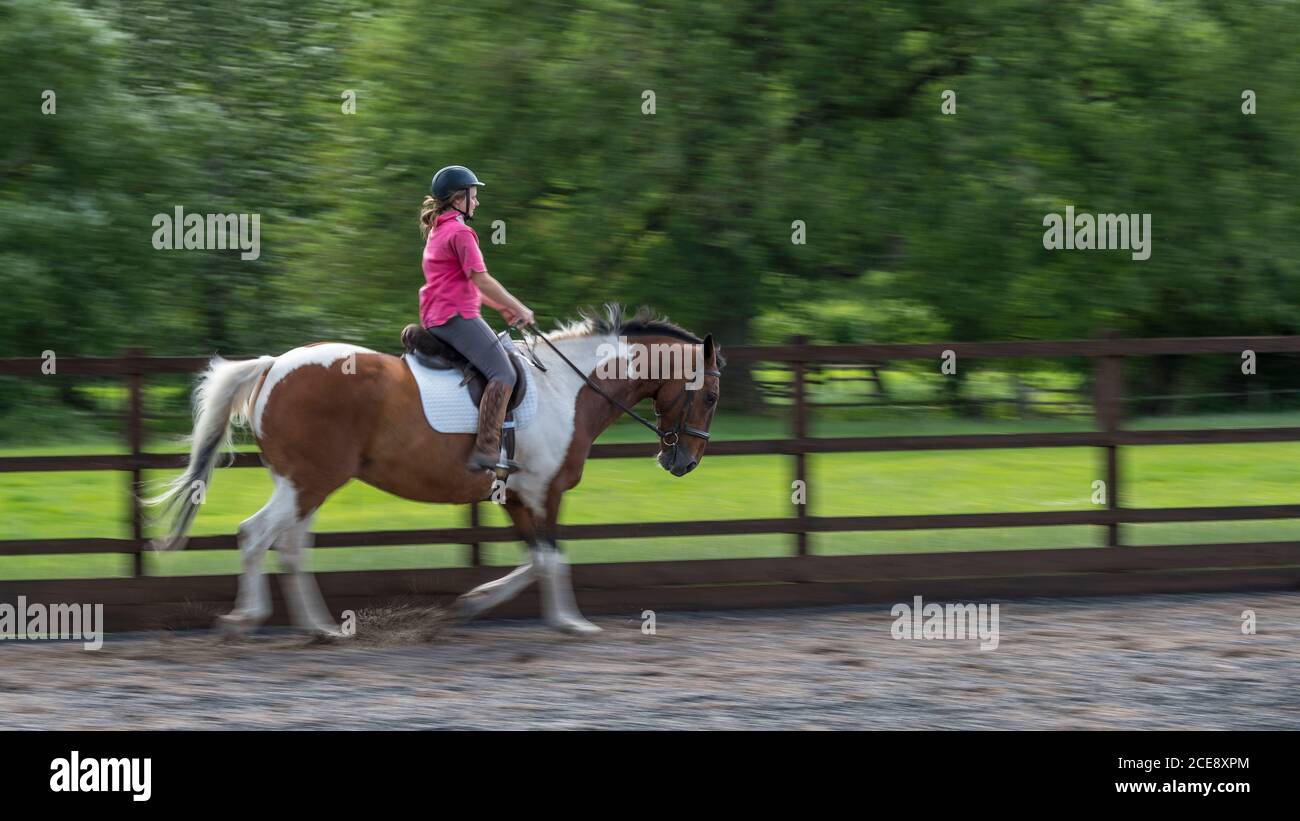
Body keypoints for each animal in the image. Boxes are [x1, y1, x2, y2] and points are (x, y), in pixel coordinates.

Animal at [143, 305, 724, 637]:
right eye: (711, 396)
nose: (683, 462)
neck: (569, 387)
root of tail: (272, 366)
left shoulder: (518, 493)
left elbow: (536, 558)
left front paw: (474, 603)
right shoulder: (544, 490)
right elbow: (553, 557)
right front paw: (572, 622)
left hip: (306, 484)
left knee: (288, 545)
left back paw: (320, 628)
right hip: (308, 481)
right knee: (255, 535)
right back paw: (246, 621)